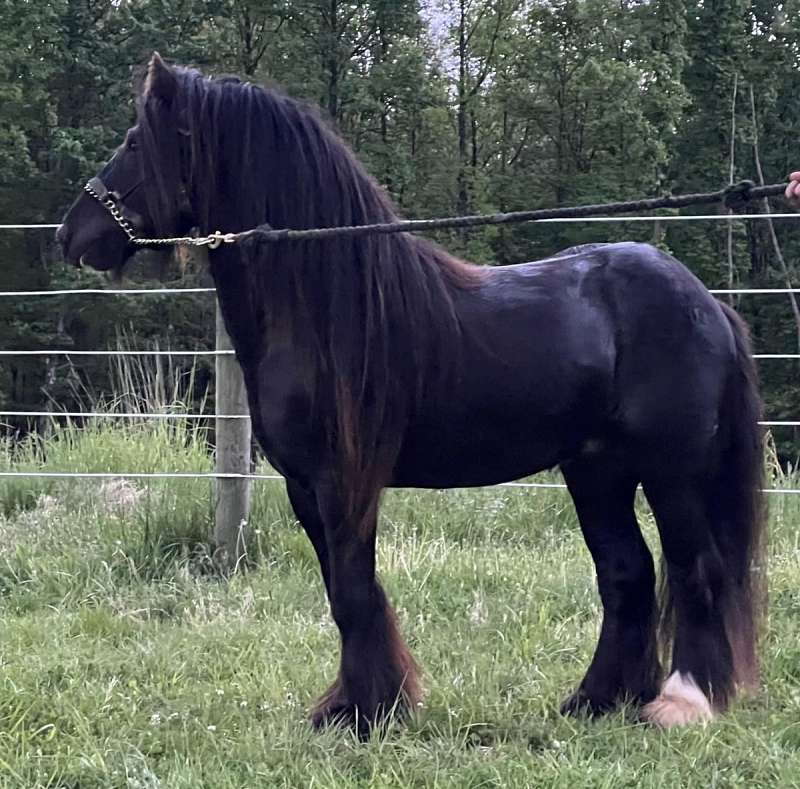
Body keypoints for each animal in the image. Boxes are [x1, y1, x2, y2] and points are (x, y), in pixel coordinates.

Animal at [57, 54, 766, 734]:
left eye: (133, 142)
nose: (72, 234)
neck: (325, 308)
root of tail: (708, 304)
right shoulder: (305, 487)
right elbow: (346, 592)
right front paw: (360, 705)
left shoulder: (342, 482)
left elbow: (352, 592)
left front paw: (367, 712)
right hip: (597, 469)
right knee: (627, 573)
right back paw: (596, 701)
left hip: (670, 471)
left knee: (695, 569)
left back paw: (683, 703)